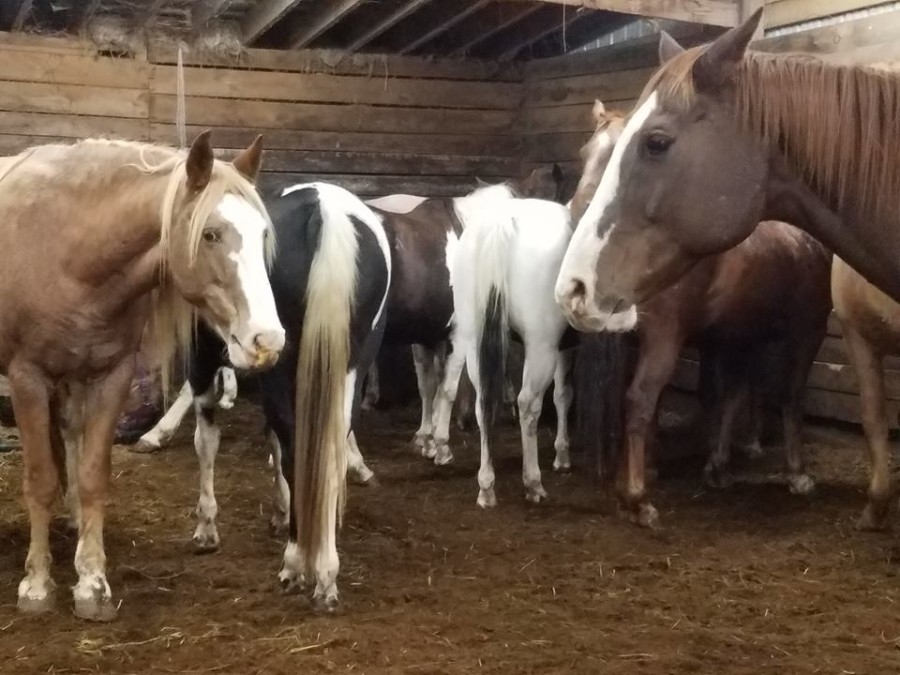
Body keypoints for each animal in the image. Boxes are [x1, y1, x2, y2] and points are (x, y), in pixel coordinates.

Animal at [0, 132, 284, 621]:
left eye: (263, 233)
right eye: (210, 234)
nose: (268, 339)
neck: (69, 252)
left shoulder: (110, 377)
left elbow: (93, 475)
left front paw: (92, 582)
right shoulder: (27, 378)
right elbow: (39, 479)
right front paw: (36, 584)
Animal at [445, 183, 575, 507]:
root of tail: (501, 223)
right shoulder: (561, 347)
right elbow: (563, 394)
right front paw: (562, 455)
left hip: (475, 339)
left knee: (483, 404)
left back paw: (486, 487)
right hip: (541, 346)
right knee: (528, 403)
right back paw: (533, 484)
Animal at [571, 99, 832, 527]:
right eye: (584, 154)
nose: (578, 213)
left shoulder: (736, 338)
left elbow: (725, 395)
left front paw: (717, 464)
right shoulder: (804, 332)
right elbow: (786, 396)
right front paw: (796, 473)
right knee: (640, 400)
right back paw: (637, 498)